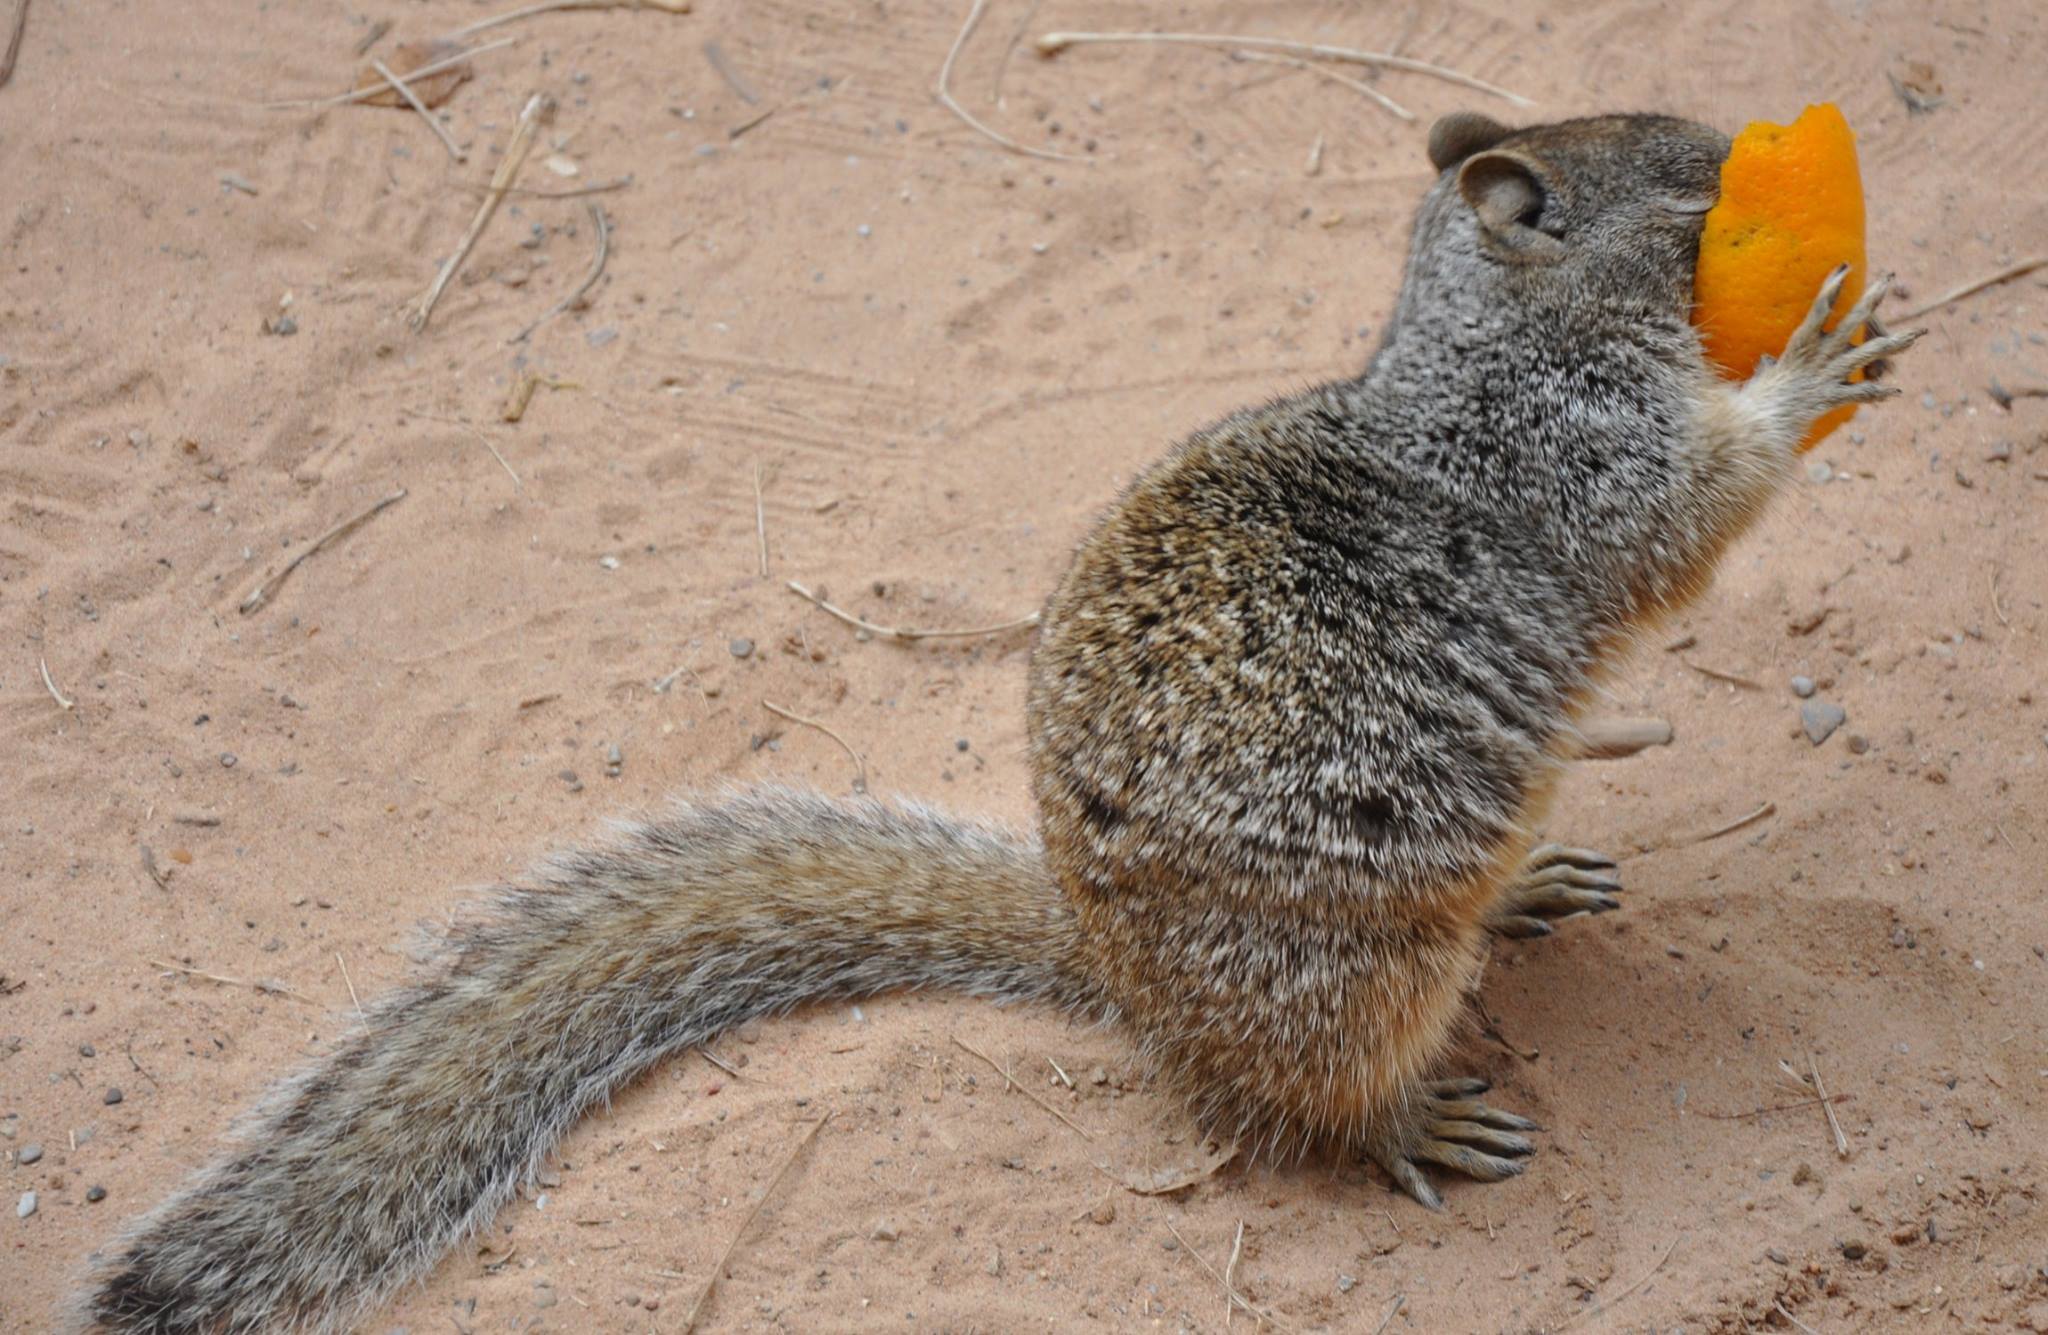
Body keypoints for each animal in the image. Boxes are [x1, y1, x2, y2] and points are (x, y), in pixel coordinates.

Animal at [81, 110, 1917, 1332]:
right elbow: (1690, 509)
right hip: (1363, 975)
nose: (1756, 130)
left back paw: (1529, 883)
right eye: (1691, 179)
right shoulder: (1583, 463)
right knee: (1314, 1101)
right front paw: (1812, 370)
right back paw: (1409, 1113)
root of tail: (1120, 978)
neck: (1485, 350)